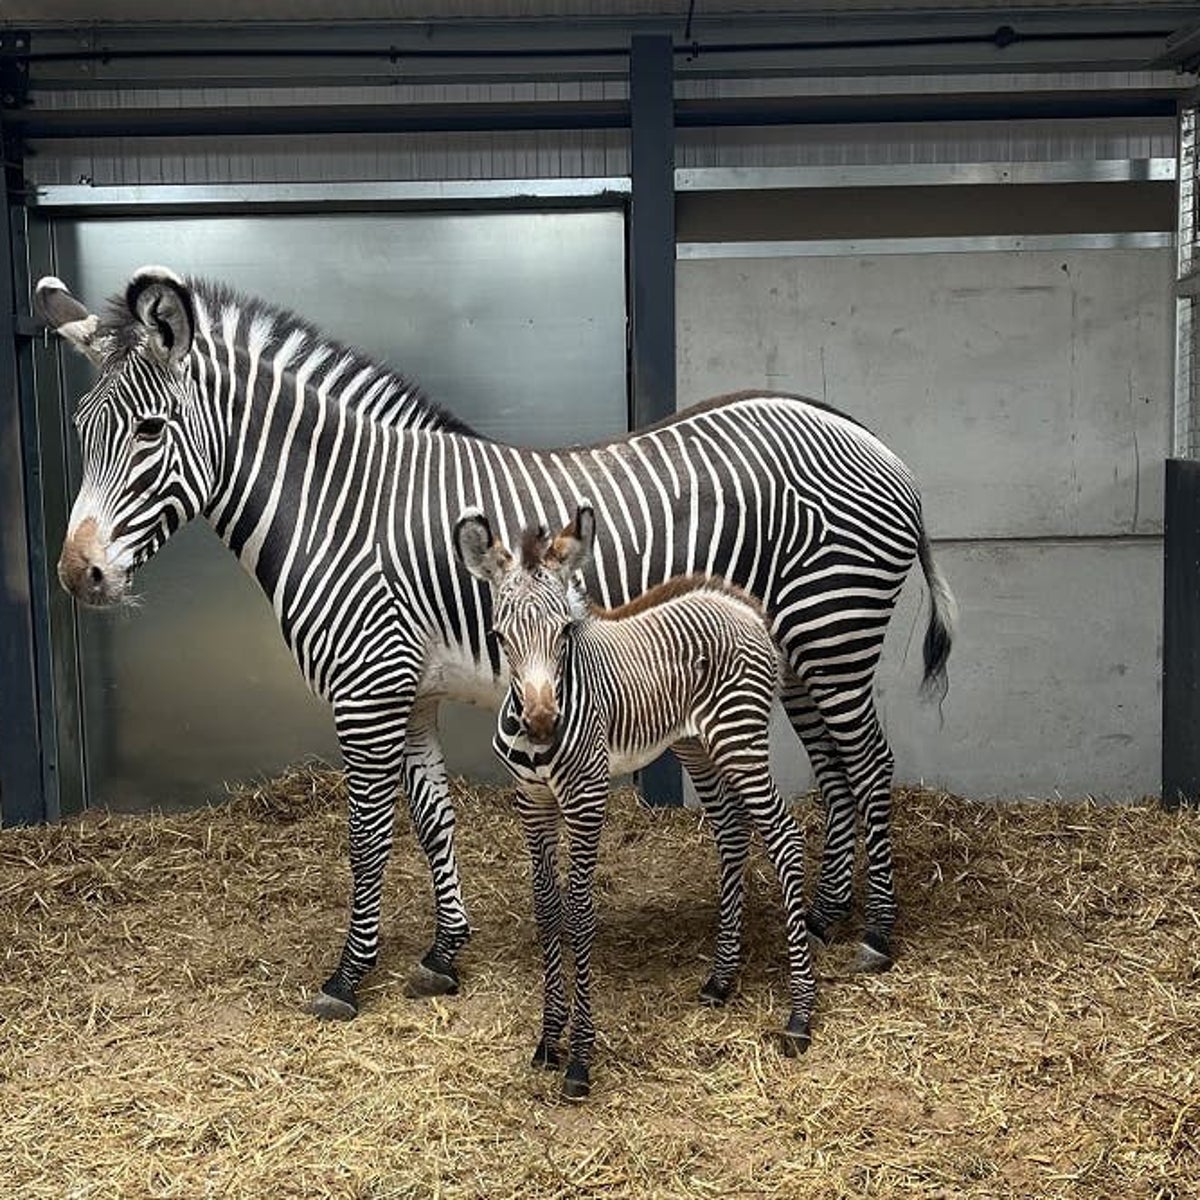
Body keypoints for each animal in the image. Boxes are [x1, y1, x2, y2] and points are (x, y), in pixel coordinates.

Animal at [34, 264, 955, 1021]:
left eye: (150, 432)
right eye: (79, 428)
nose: (79, 575)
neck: (339, 509)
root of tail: (878, 442)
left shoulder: (365, 689)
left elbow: (368, 832)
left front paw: (348, 976)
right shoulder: (408, 691)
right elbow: (432, 817)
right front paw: (445, 951)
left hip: (833, 629)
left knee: (869, 763)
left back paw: (876, 933)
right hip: (795, 650)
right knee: (834, 769)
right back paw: (828, 914)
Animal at [454, 502, 815, 1098]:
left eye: (563, 633)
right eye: (499, 637)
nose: (542, 726)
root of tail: (743, 604)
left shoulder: (586, 795)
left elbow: (578, 913)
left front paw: (580, 1058)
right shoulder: (532, 802)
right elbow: (546, 908)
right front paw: (548, 1039)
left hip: (739, 739)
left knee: (784, 835)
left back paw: (801, 1015)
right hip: (697, 744)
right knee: (732, 831)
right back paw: (722, 979)